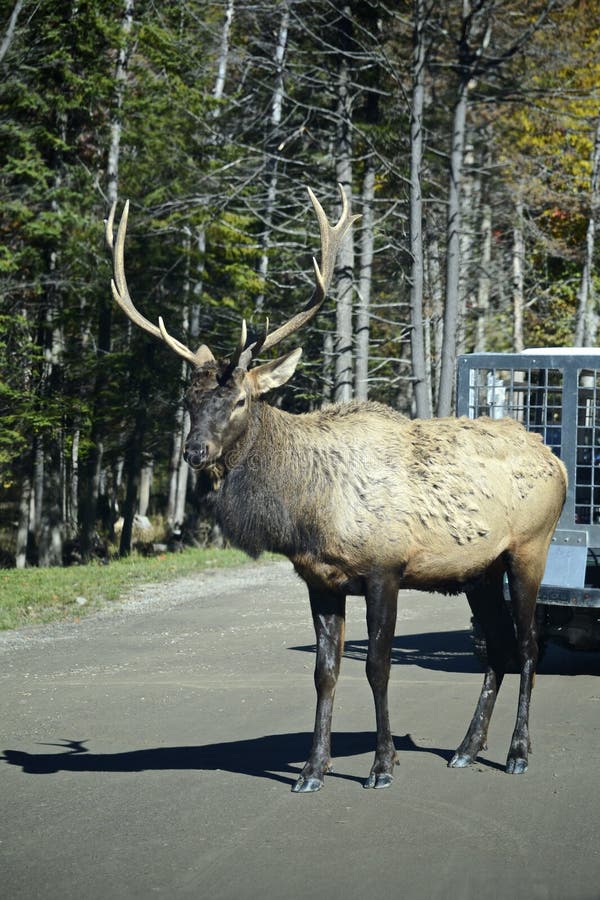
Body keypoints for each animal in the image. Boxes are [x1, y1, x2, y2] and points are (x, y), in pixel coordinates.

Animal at [105, 186, 567, 792]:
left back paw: (516, 752)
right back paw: (467, 748)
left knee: (529, 646)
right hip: (478, 570)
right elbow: (324, 671)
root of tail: (556, 461)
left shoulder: (385, 568)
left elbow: (377, 665)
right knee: (496, 648)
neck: (308, 512)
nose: (195, 452)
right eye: (188, 400)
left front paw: (382, 765)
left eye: (240, 400)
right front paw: (312, 768)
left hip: (529, 547)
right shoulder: (319, 578)